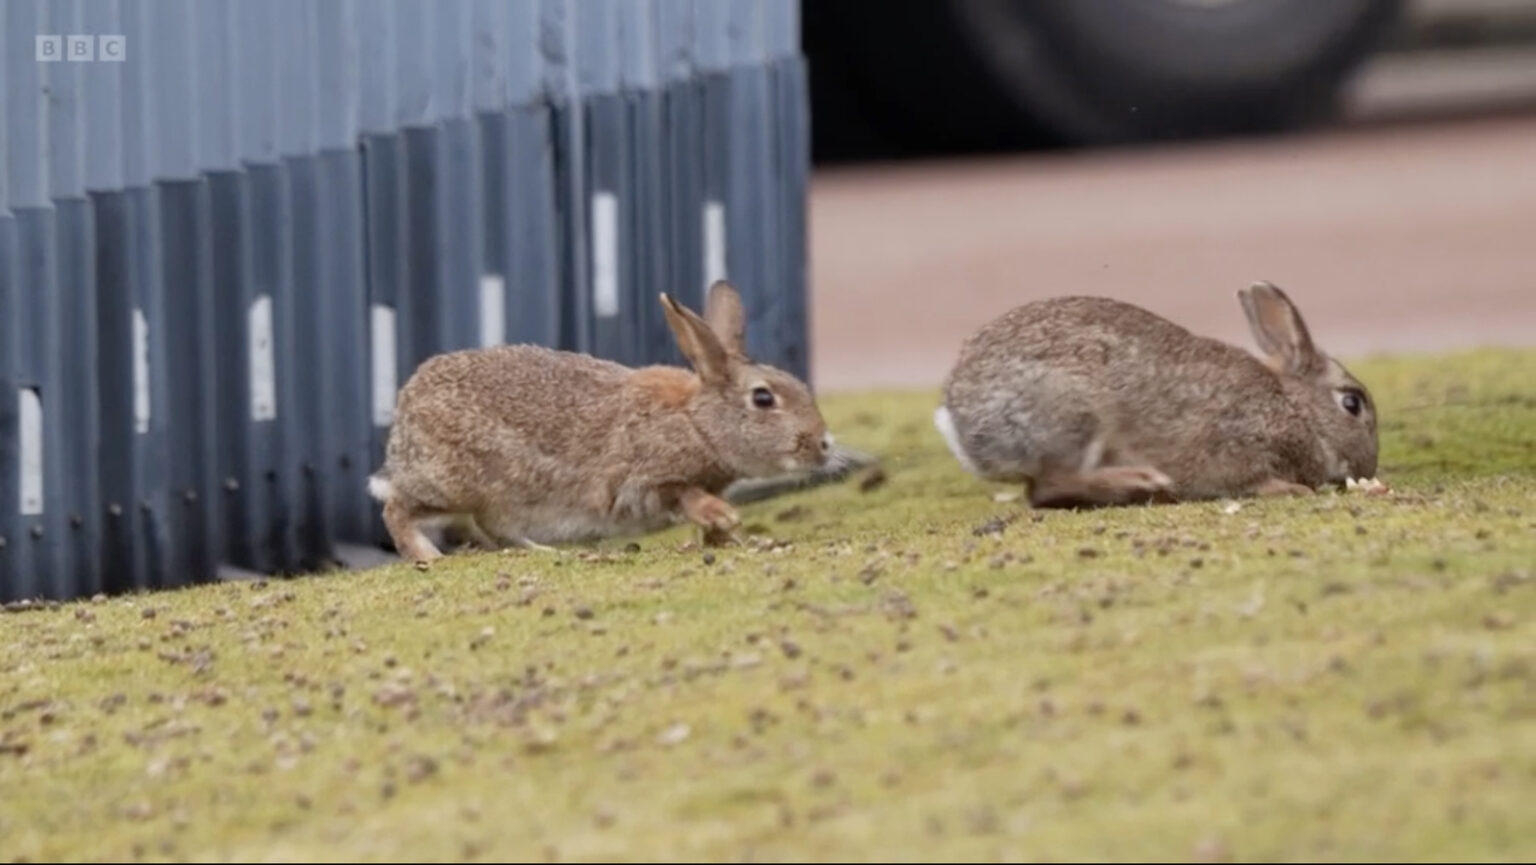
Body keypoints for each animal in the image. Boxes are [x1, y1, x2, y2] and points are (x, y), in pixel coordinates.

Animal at [367, 281, 837, 564]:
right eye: (763, 398)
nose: (823, 444)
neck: (698, 422)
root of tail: (403, 418)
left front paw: (725, 538)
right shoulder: (646, 479)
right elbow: (685, 495)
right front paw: (723, 517)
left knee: (487, 527)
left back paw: (540, 550)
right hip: (455, 484)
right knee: (397, 509)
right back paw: (427, 556)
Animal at [933, 281, 1379, 508]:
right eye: (1351, 403)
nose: (1368, 470)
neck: (1294, 407)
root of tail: (957, 421)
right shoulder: (1235, 444)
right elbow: (1248, 479)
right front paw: (1289, 489)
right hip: (1071, 415)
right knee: (1050, 486)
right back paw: (1142, 480)